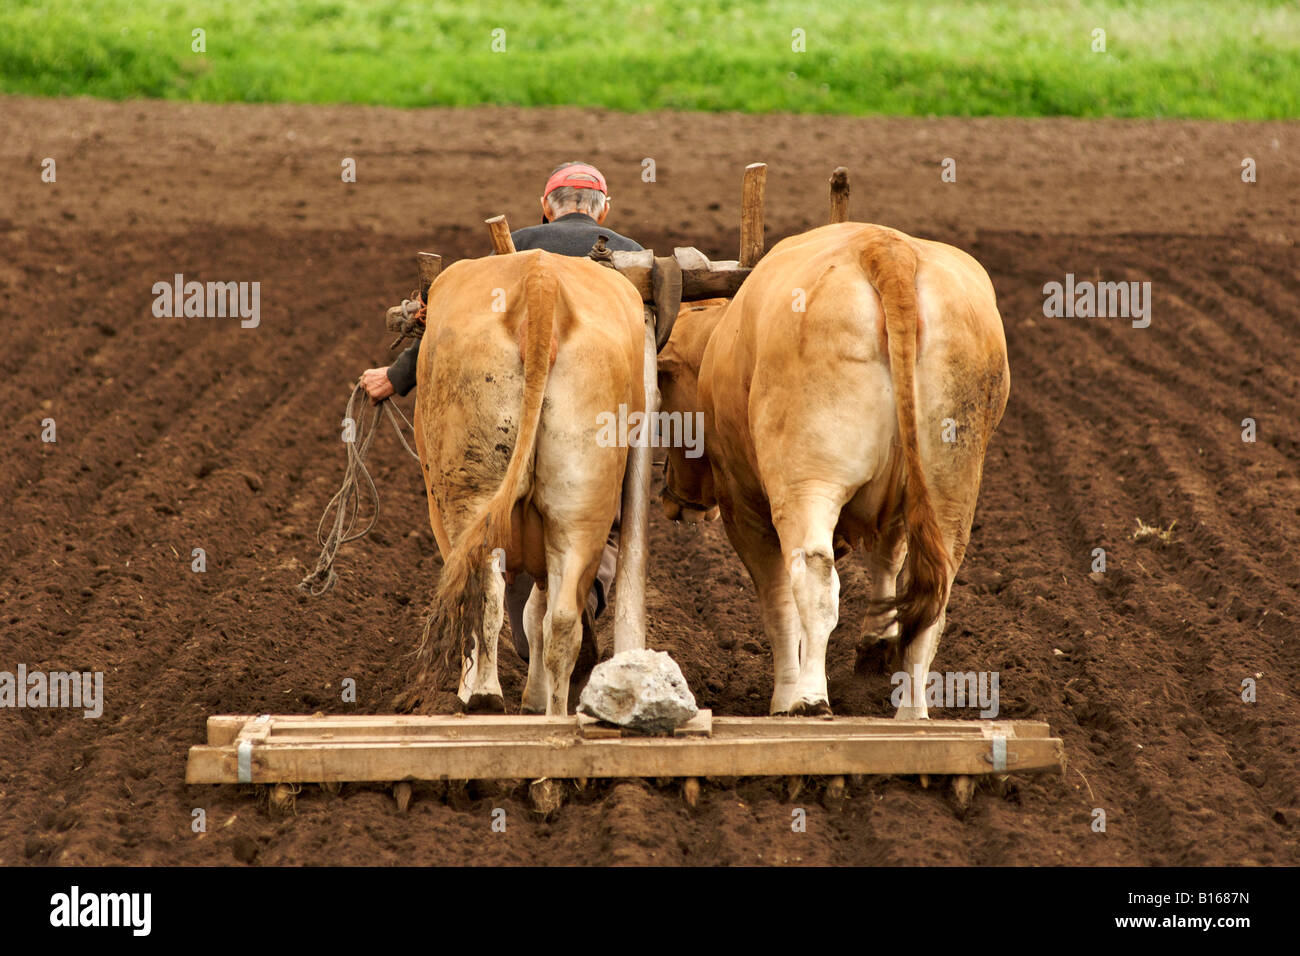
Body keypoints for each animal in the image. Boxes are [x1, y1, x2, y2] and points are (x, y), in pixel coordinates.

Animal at [657, 223, 1010, 718]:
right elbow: (888, 562)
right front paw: (875, 644)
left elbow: (778, 602)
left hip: (808, 482)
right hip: (949, 487)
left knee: (814, 577)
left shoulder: (743, 508)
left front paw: (783, 696)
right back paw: (912, 711)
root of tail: (884, 249)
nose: (674, 498)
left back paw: (809, 697)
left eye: (664, 382)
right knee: (933, 596)